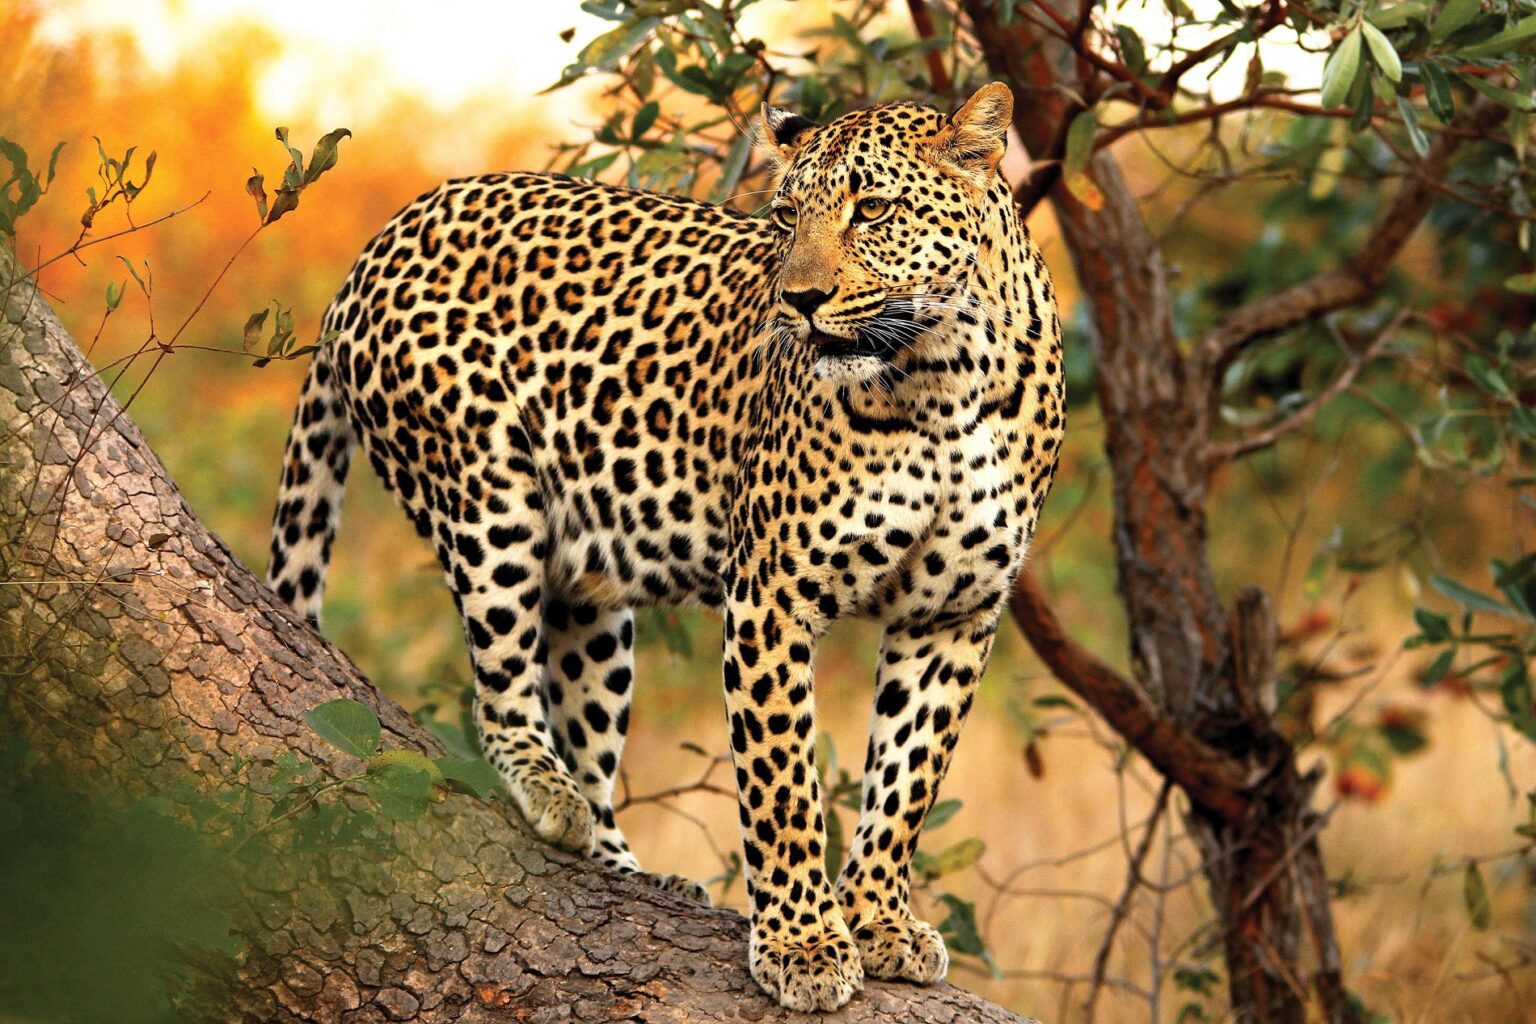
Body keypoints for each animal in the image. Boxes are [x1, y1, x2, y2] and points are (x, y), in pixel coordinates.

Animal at [266, 82, 1063, 1012]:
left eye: (873, 210)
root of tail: (382, 238)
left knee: (584, 717)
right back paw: (551, 794)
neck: (944, 378)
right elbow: (782, 784)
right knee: (501, 689)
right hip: (484, 491)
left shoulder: (955, 615)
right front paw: (803, 945)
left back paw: (629, 867)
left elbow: (907, 779)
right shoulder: (772, 596)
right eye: (786, 217)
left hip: (590, 586)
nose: (799, 301)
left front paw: (879, 922)